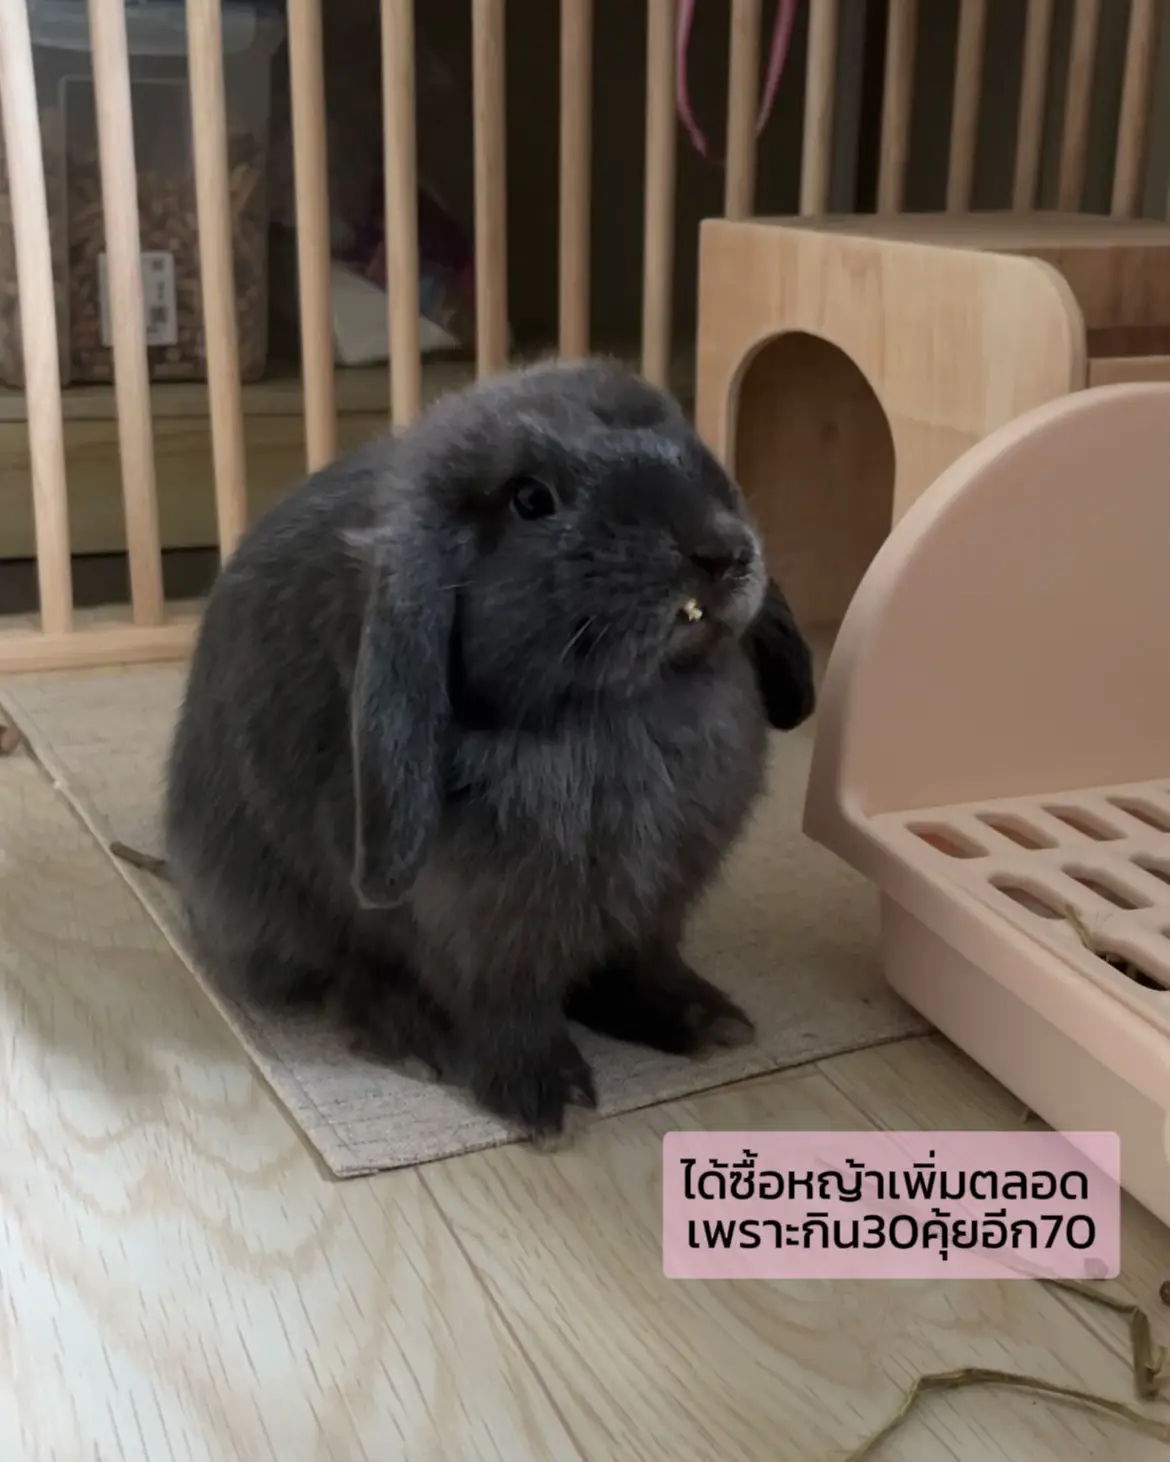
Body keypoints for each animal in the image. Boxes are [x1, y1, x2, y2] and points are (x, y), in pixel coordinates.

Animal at [164, 357, 815, 1146]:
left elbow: (640, 966)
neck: (616, 711)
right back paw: (411, 1037)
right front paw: (545, 1097)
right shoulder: (477, 928)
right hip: (280, 912)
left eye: (689, 442)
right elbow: (504, 1009)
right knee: (345, 978)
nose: (720, 551)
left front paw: (702, 1018)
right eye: (530, 499)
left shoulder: (655, 909)